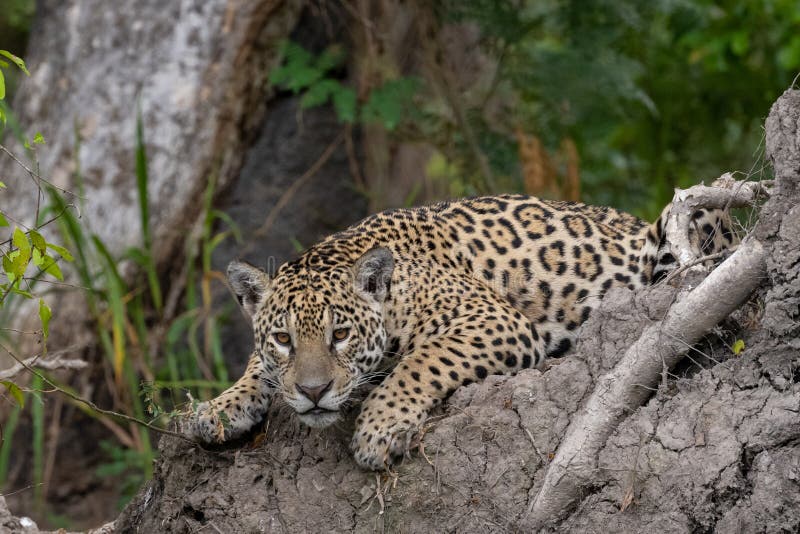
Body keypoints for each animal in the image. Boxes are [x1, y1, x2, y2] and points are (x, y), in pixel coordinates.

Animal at [185, 194, 735, 470]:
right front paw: (218, 409)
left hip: (697, 217)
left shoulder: (494, 318)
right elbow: (255, 369)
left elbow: (420, 361)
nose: (314, 392)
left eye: (340, 334)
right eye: (284, 340)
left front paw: (377, 431)